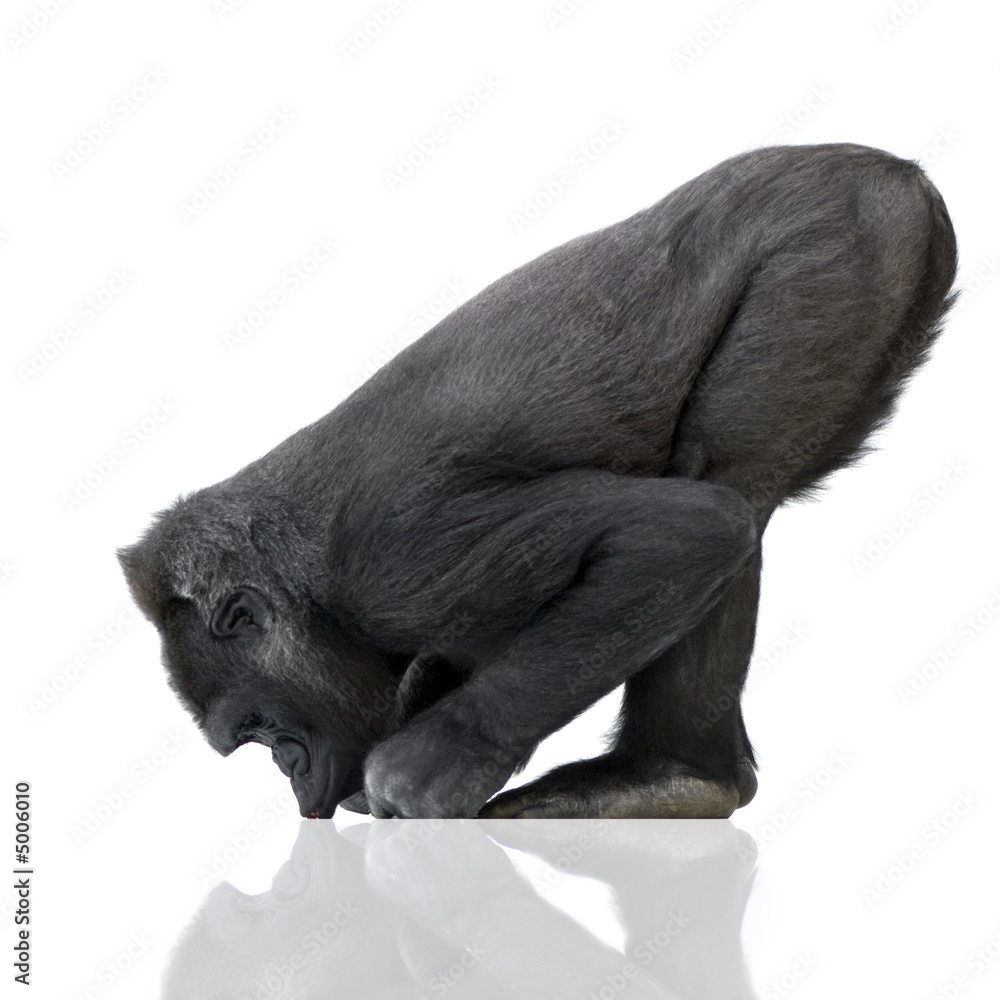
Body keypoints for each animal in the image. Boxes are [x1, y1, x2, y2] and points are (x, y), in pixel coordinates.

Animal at [118, 143, 957, 819]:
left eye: (258, 730)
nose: (293, 778)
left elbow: (683, 535)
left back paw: (677, 776)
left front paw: (436, 764)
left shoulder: (396, 564)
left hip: (839, 244)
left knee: (733, 486)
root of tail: (896, 171)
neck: (313, 593)